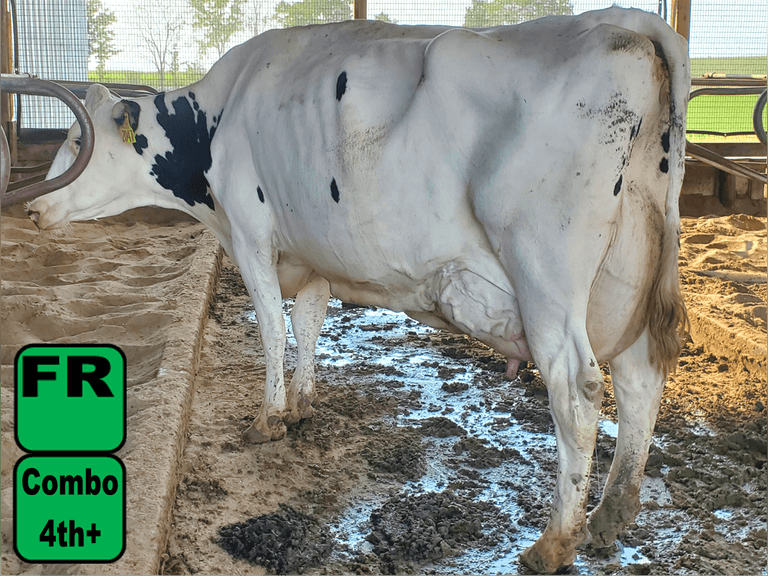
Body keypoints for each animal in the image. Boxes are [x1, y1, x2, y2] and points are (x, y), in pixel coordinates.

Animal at [27, 7, 689, 572]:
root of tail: (630, 26)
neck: (217, 120)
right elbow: (309, 322)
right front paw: (300, 403)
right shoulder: (315, 251)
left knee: (577, 389)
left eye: (77, 143)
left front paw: (266, 418)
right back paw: (610, 515)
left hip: (544, 271)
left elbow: (272, 326)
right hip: (631, 269)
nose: (32, 207)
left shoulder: (248, 231)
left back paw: (553, 542)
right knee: (640, 377)